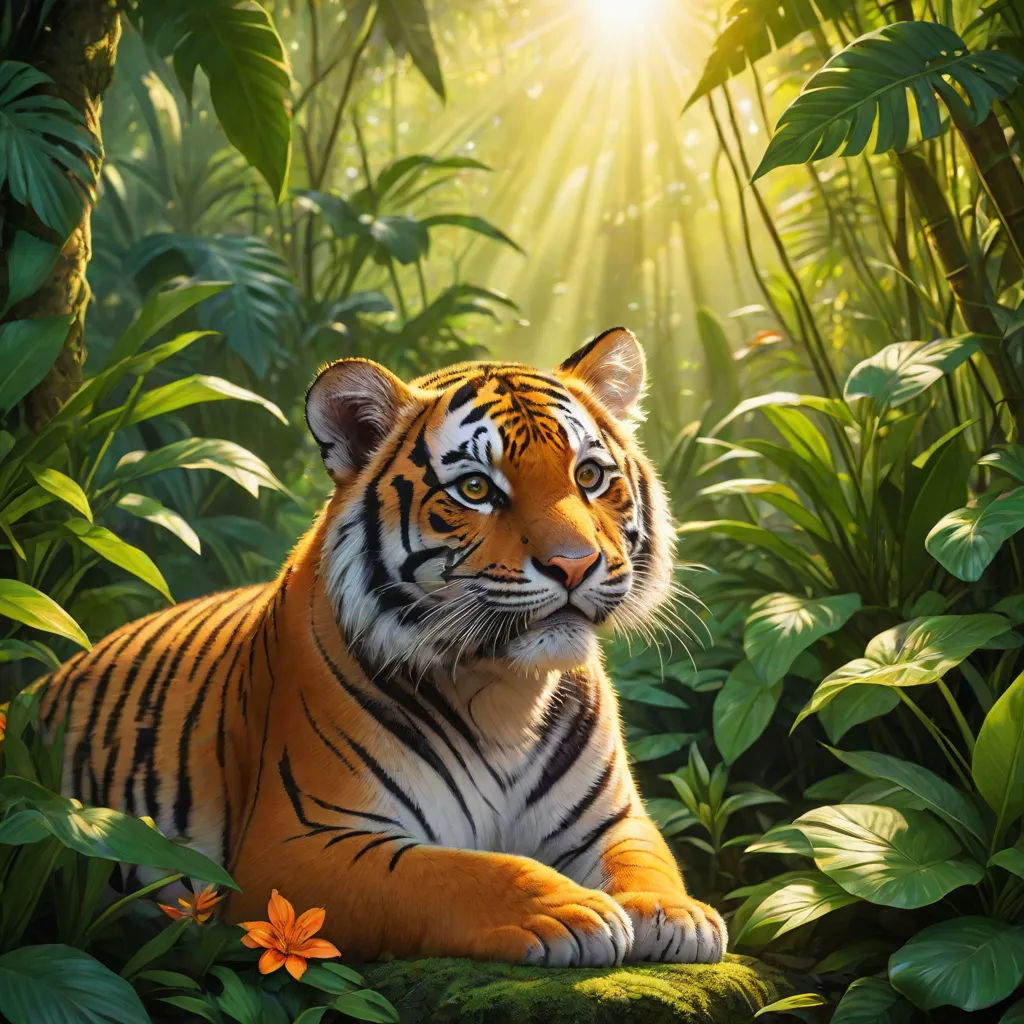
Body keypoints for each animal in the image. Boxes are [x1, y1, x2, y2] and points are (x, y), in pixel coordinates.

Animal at [36, 327, 726, 966]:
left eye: (588, 476)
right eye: (476, 490)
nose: (575, 564)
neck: (505, 690)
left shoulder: (612, 820)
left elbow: (643, 861)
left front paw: (676, 914)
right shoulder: (295, 849)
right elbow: (456, 873)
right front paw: (566, 910)